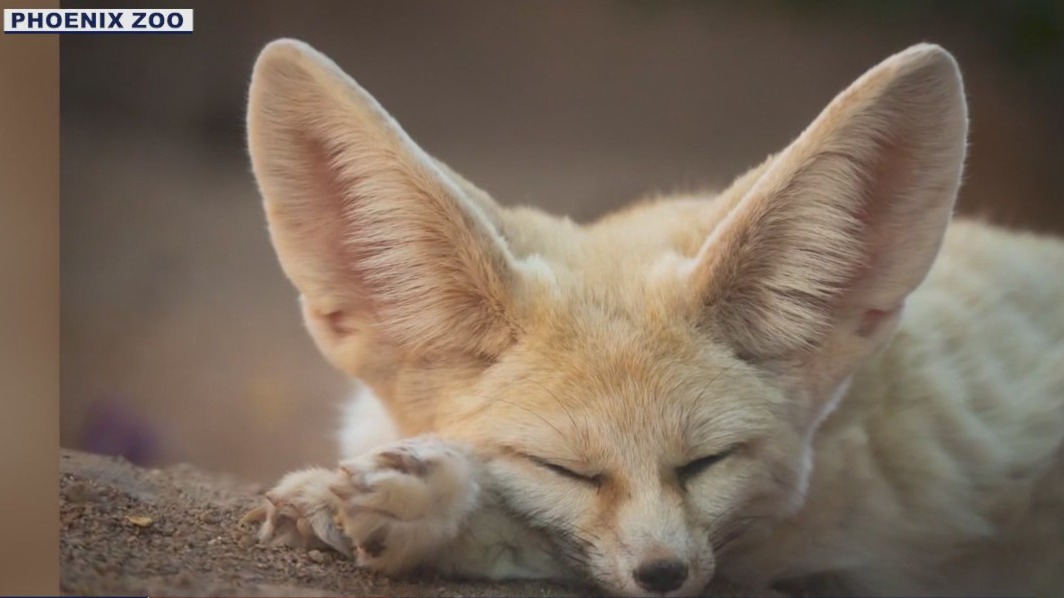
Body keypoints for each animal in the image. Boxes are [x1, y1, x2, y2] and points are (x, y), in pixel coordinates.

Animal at [241, 38, 1064, 597]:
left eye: (707, 462)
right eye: (564, 470)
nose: (663, 574)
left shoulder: (820, 547)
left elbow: (536, 541)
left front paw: (425, 500)